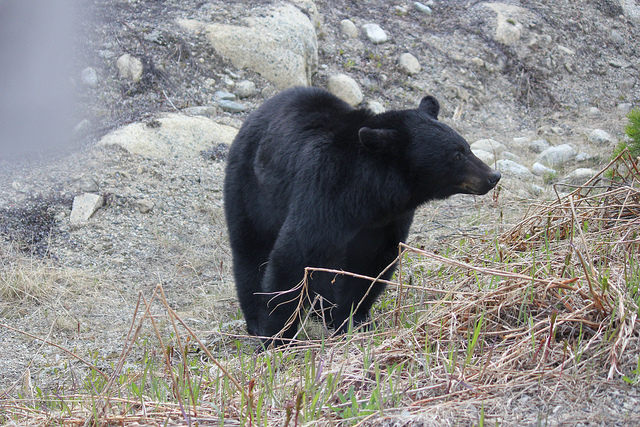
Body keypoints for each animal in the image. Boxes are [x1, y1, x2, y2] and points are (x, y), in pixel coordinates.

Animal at [223, 86, 500, 347]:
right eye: (456, 155)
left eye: (466, 146)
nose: (493, 176)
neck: (369, 194)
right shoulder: (324, 190)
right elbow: (295, 257)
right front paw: (277, 337)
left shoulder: (386, 221)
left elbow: (371, 263)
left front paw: (353, 320)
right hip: (250, 189)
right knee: (251, 249)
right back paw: (256, 319)